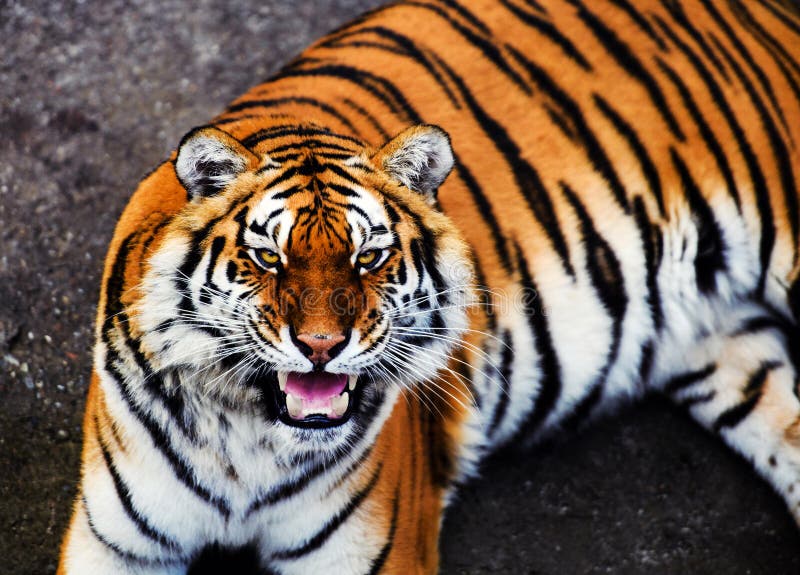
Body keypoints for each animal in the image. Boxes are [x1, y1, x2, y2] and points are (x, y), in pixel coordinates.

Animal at [58, 0, 800, 572]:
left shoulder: (370, 550)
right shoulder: (113, 541)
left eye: (369, 257)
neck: (248, 441)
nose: (321, 346)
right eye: (269, 257)